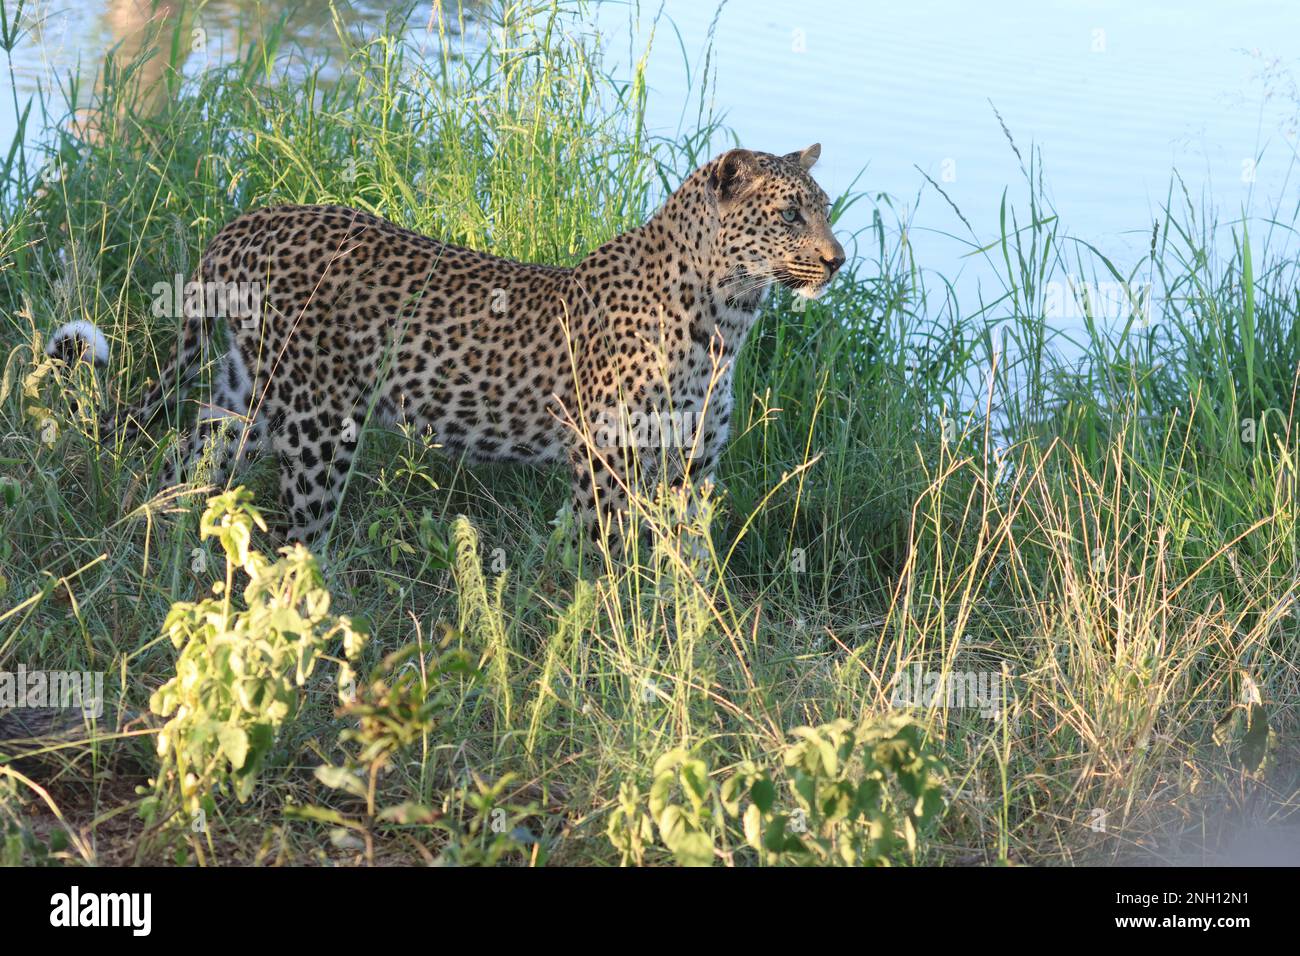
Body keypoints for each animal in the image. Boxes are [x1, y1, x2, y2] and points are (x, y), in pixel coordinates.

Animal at [48, 144, 845, 549]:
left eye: (827, 207)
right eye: (789, 213)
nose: (838, 260)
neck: (728, 321)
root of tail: (247, 220)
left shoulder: (693, 474)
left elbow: (691, 569)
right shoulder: (606, 465)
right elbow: (602, 563)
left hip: (246, 395)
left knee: (185, 460)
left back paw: (153, 536)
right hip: (316, 423)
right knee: (300, 531)